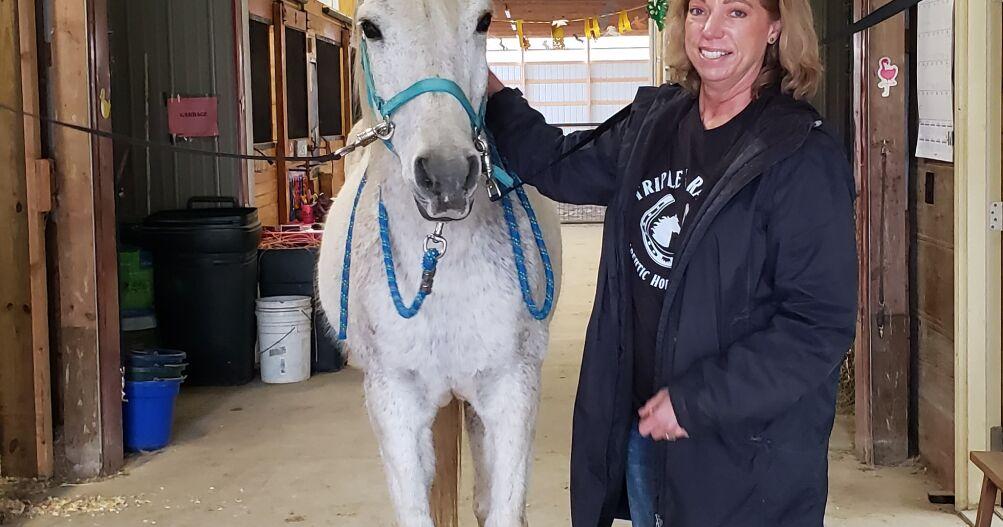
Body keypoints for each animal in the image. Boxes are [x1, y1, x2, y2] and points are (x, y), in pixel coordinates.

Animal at [316, 1, 563, 526]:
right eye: (370, 28)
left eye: (483, 21)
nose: (447, 177)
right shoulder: (394, 402)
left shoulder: (513, 390)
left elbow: (502, 506)